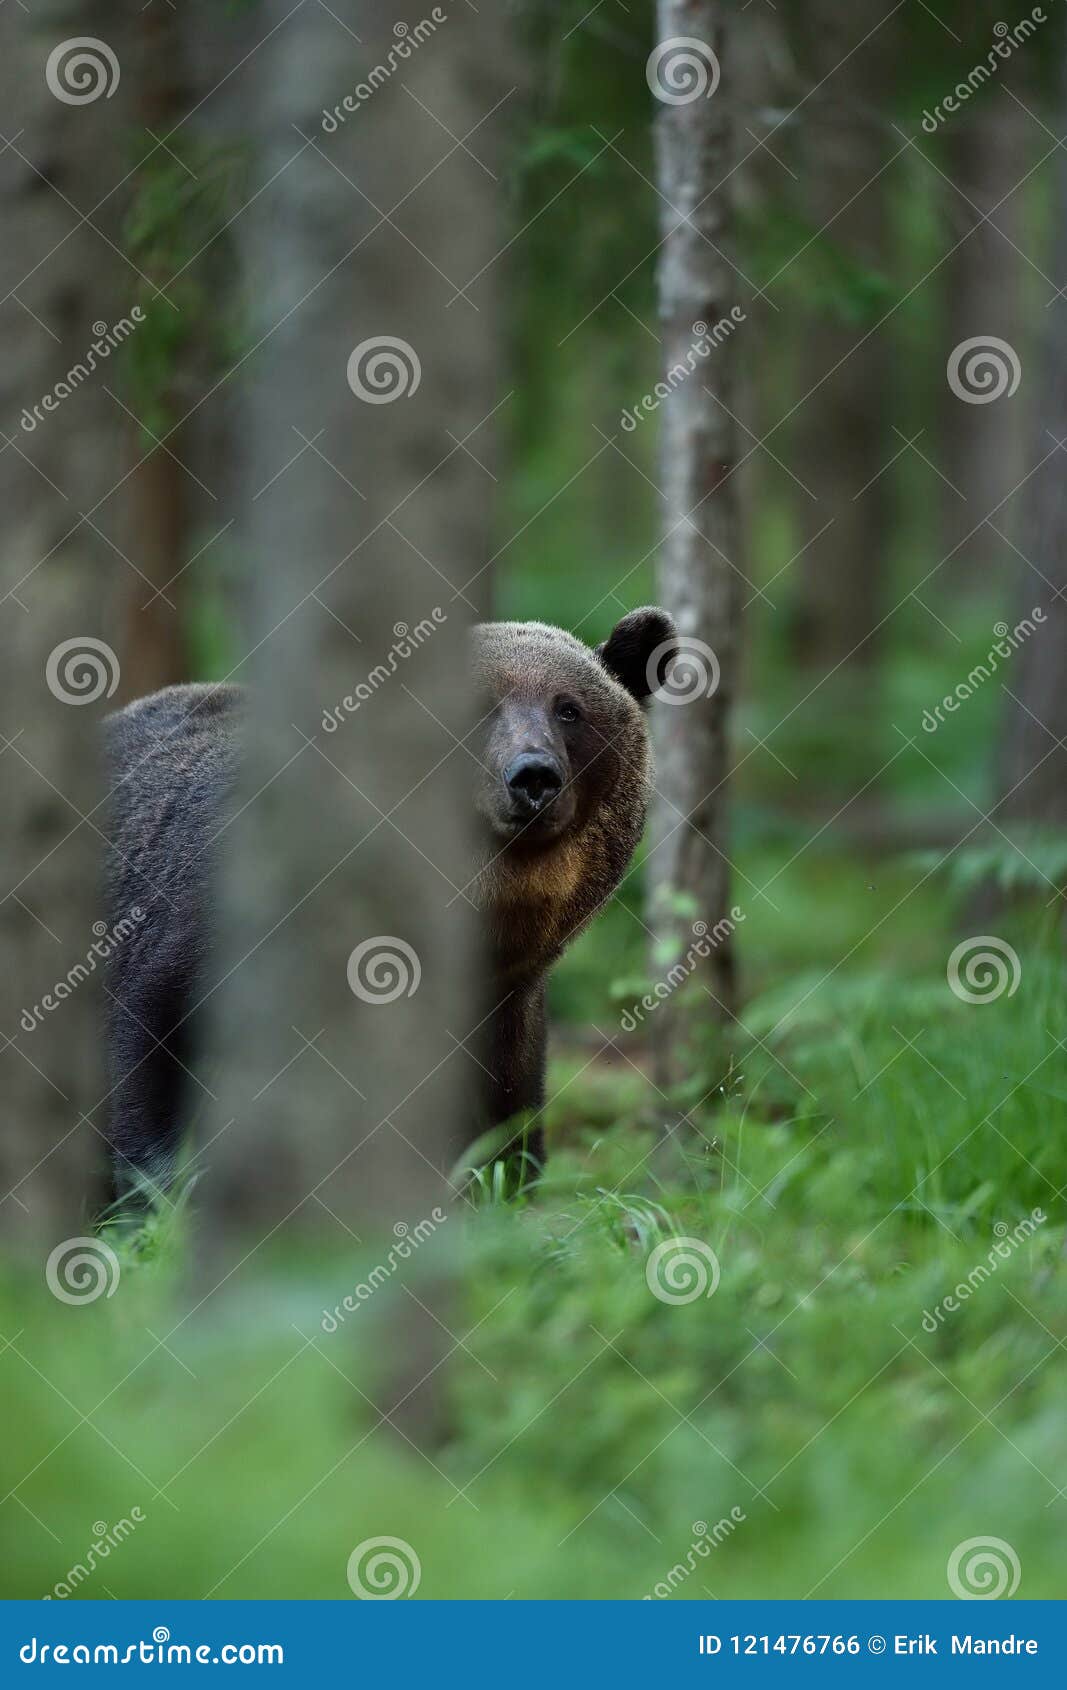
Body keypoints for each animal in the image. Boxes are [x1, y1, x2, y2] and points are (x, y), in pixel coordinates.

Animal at [101, 607, 677, 1192]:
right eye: (478, 706)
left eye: (569, 709)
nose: (533, 776)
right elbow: (153, 1047)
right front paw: (158, 1191)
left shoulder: (502, 993)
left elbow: (504, 1101)